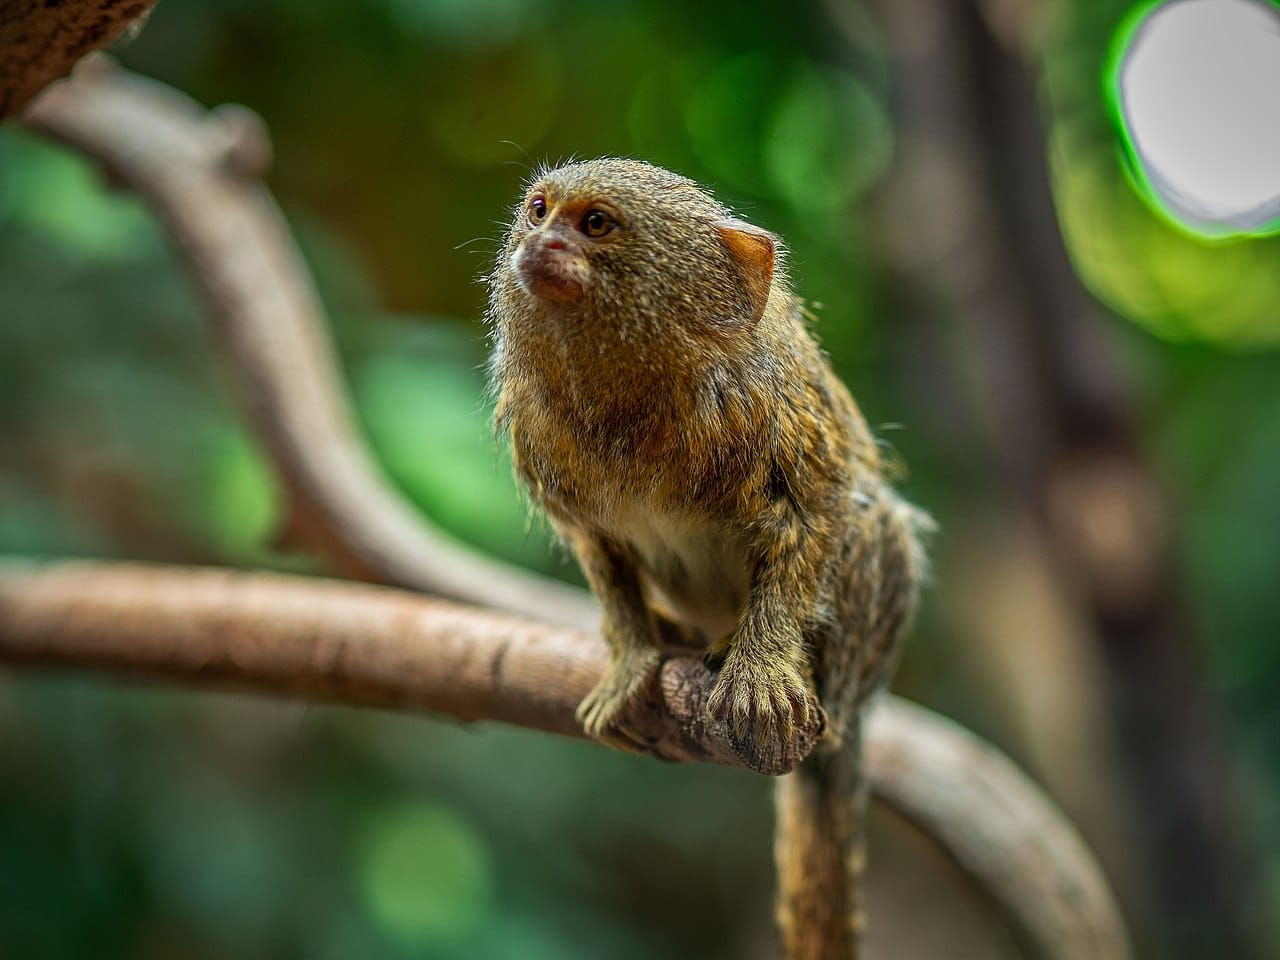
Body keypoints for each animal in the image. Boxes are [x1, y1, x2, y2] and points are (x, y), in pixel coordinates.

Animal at [486, 157, 928, 959]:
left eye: (595, 224)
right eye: (538, 211)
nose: (541, 244)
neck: (631, 400)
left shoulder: (771, 412)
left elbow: (820, 510)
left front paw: (762, 670)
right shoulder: (547, 449)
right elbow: (601, 555)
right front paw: (633, 655)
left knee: (879, 527)